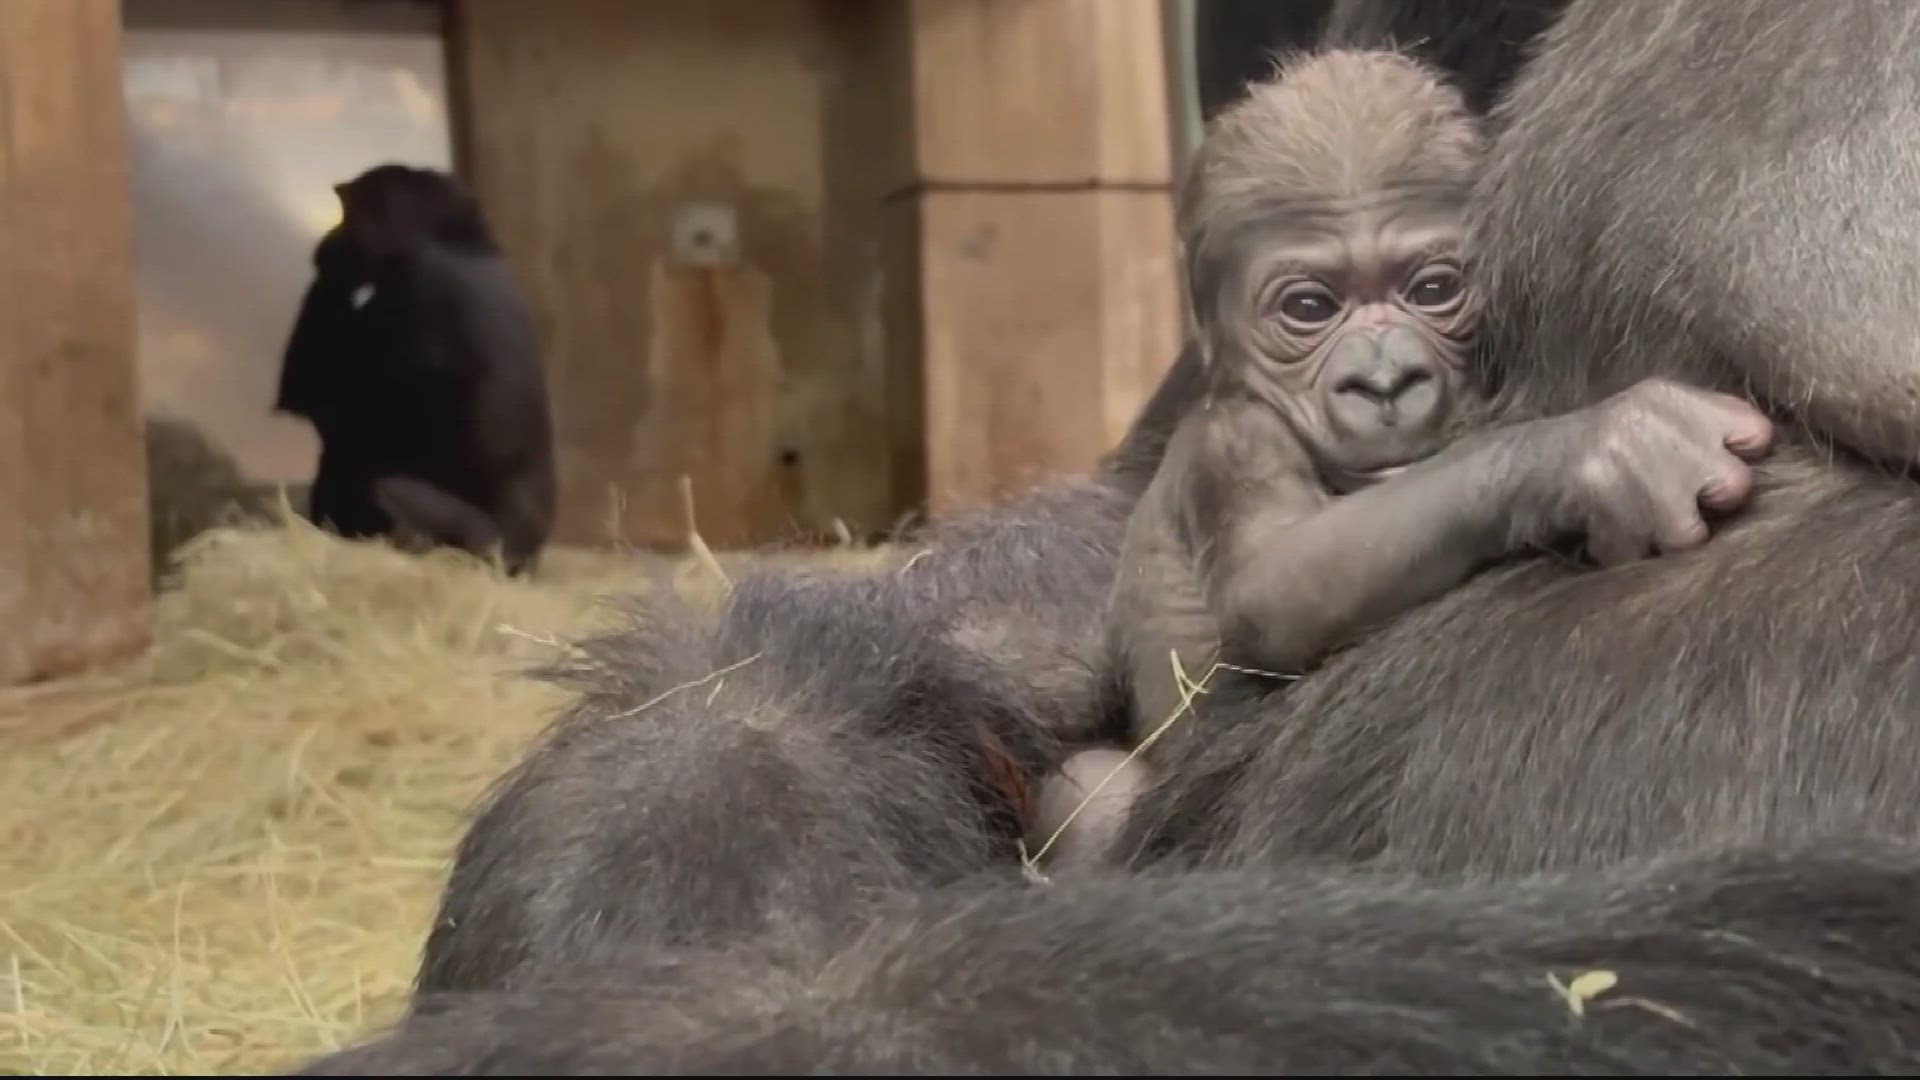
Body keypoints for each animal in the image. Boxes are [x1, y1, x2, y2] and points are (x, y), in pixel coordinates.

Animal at [274, 164, 556, 576]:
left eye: (346, 213)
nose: (328, 239)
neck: (459, 240)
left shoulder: (415, 281)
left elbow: (330, 401)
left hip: (481, 544)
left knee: (374, 480)